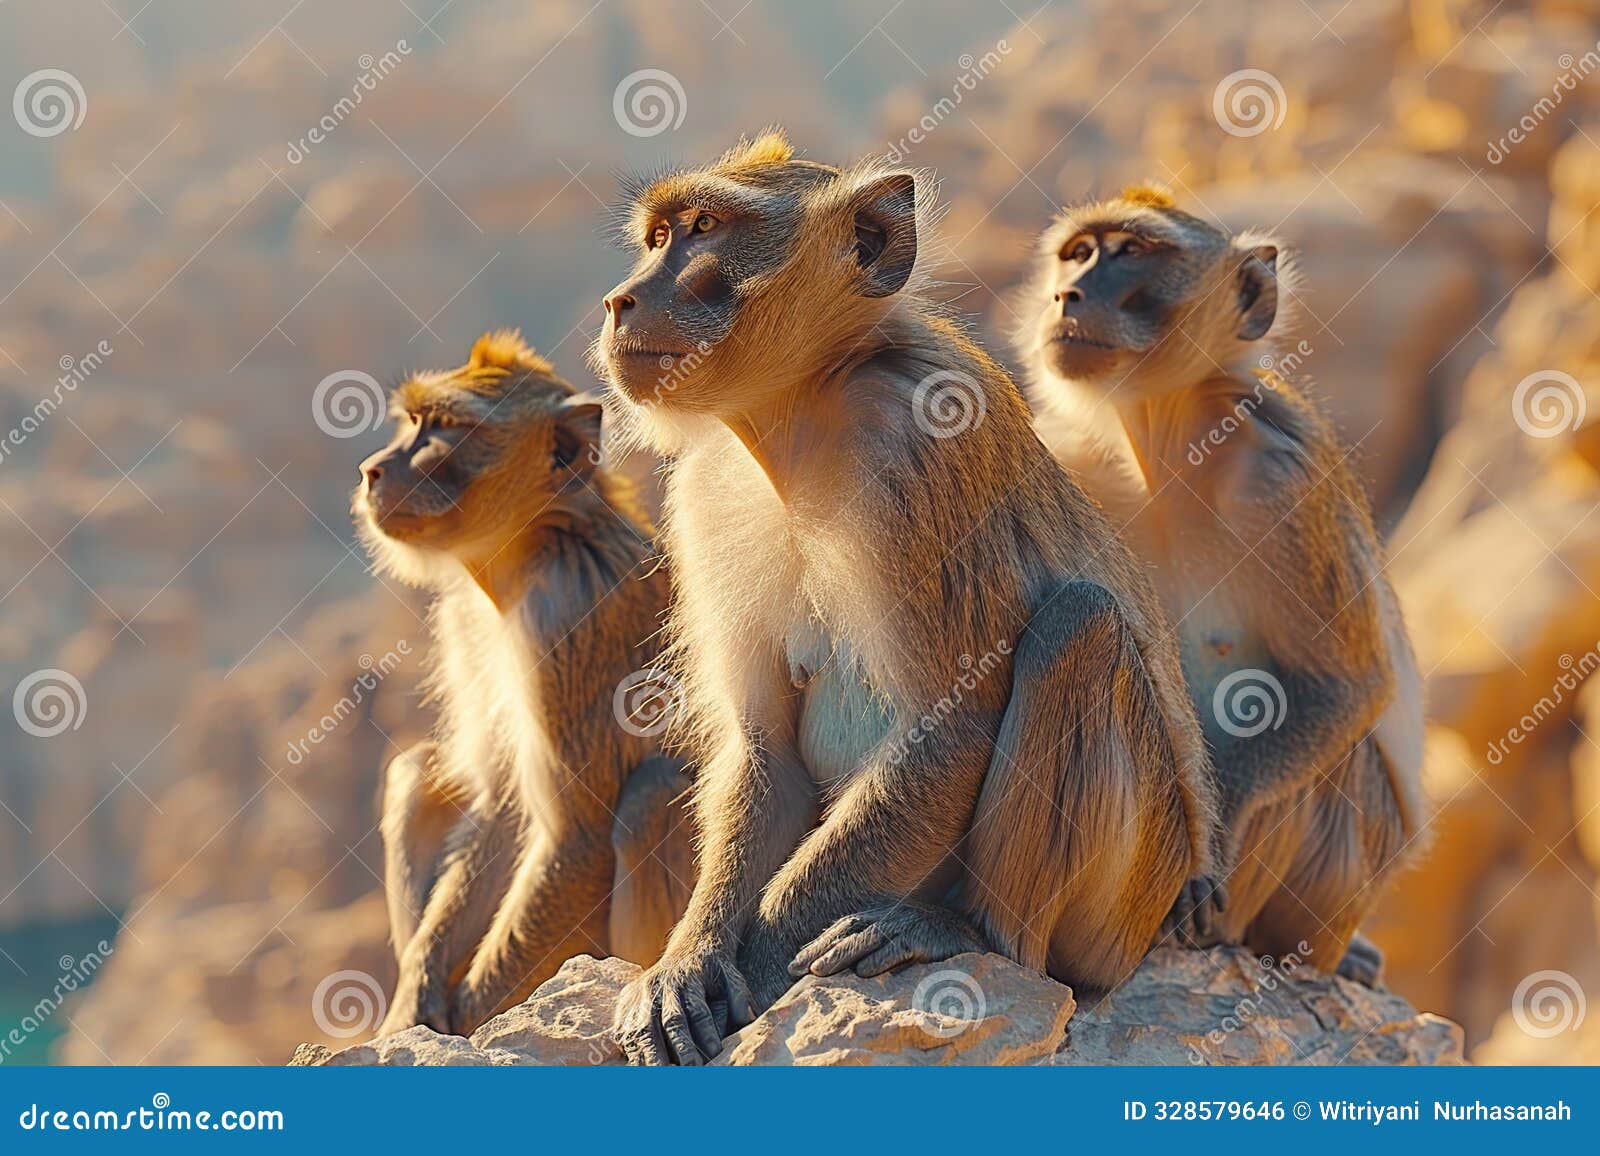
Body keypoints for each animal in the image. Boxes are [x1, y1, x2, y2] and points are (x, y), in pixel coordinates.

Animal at [353, 331, 695, 1036]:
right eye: (412, 421)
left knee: (652, 796)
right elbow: (502, 809)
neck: (533, 547)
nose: (374, 469)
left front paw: (466, 1022)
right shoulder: (465, 621)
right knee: (418, 774)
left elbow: (575, 838)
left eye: (447, 428)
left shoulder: (566, 614)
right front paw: (413, 1004)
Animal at [591, 131, 1218, 1065]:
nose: (622, 300)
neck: (805, 408)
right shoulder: (707, 496)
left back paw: (971, 931)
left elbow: (952, 725)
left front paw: (762, 970)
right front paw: (688, 961)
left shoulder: (918, 440)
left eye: (704, 229)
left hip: (1124, 909)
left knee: (1080, 627)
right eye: (659, 235)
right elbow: (765, 746)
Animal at [1013, 184, 1428, 985]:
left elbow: (1347, 686)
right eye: (1078, 253)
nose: (1066, 293)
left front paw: (1216, 845)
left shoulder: (1284, 476)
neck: (1163, 440)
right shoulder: (1065, 458)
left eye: (1133, 252)